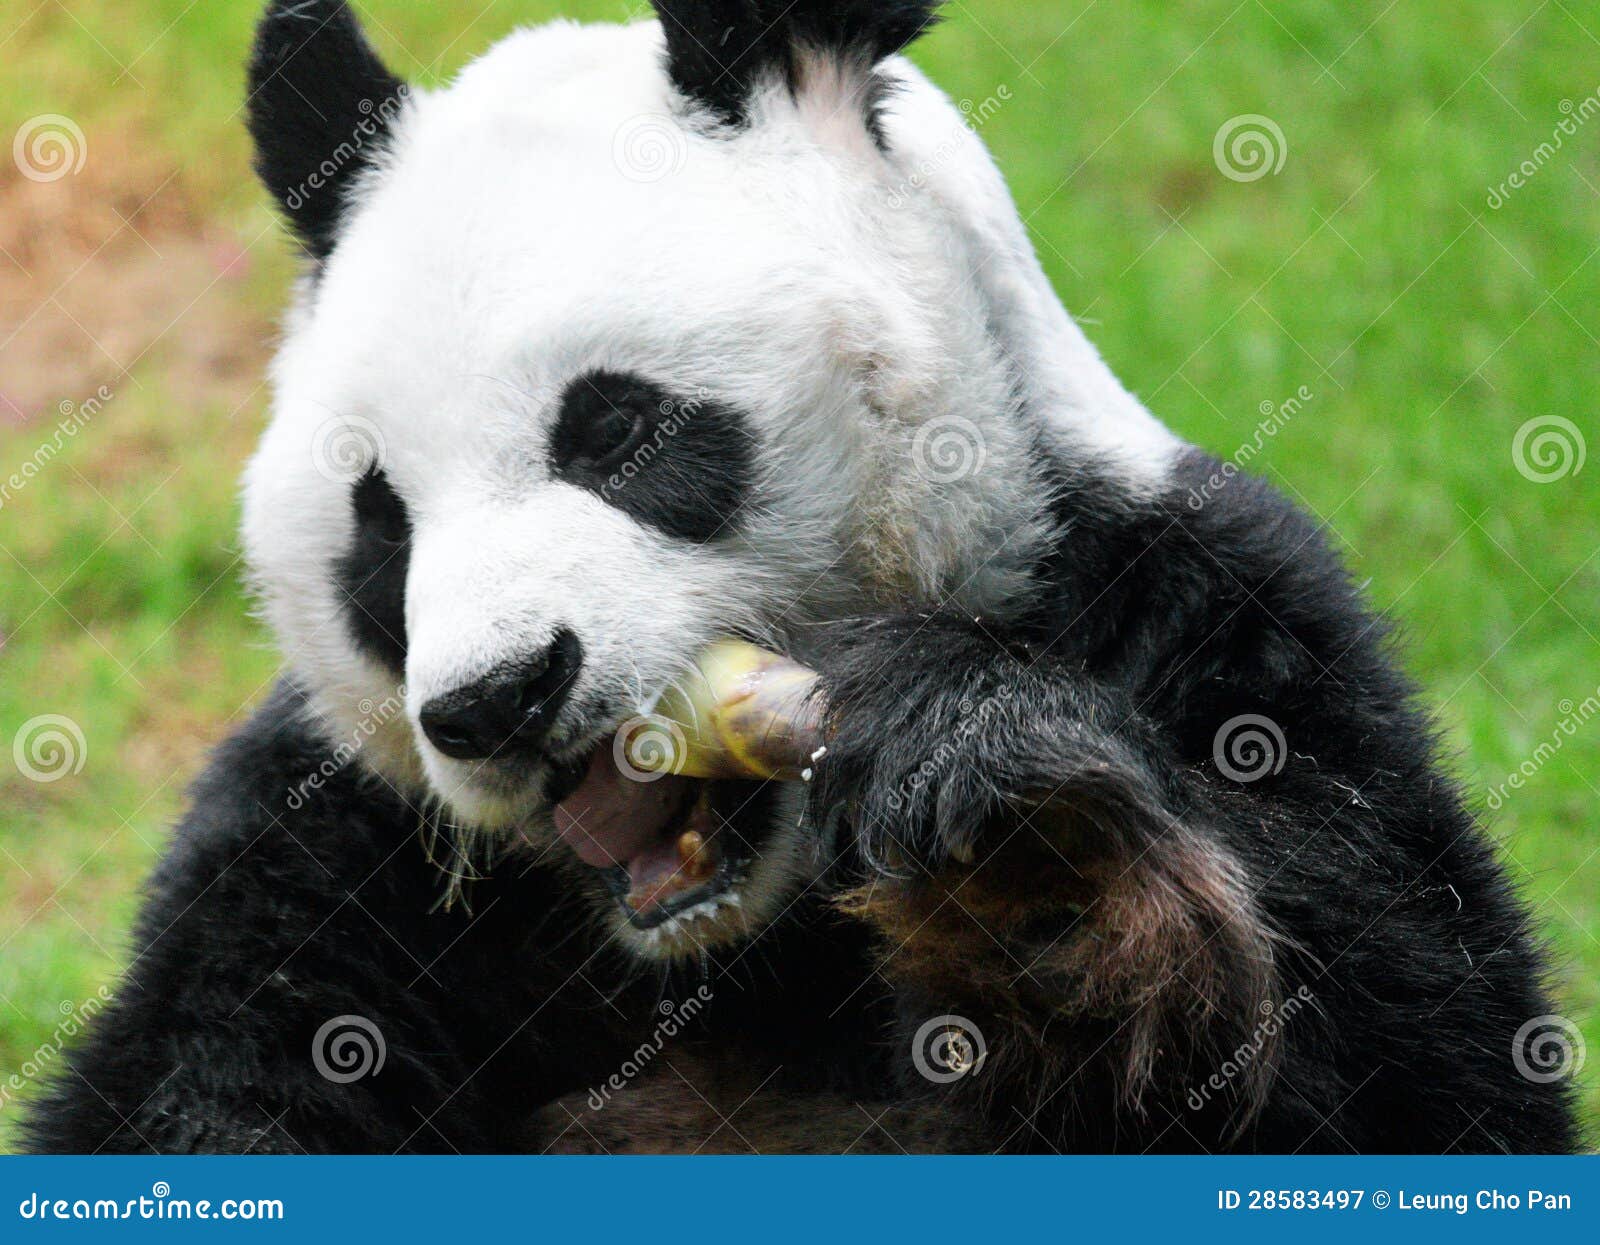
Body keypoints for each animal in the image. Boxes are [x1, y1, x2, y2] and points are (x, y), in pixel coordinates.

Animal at [23, 0, 1578, 1154]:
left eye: (617, 429)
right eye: (381, 529)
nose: (502, 699)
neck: (733, 951)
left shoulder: (1207, 629)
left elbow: (1417, 1066)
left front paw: (1020, 849)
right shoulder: (336, 850)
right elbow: (190, 1090)